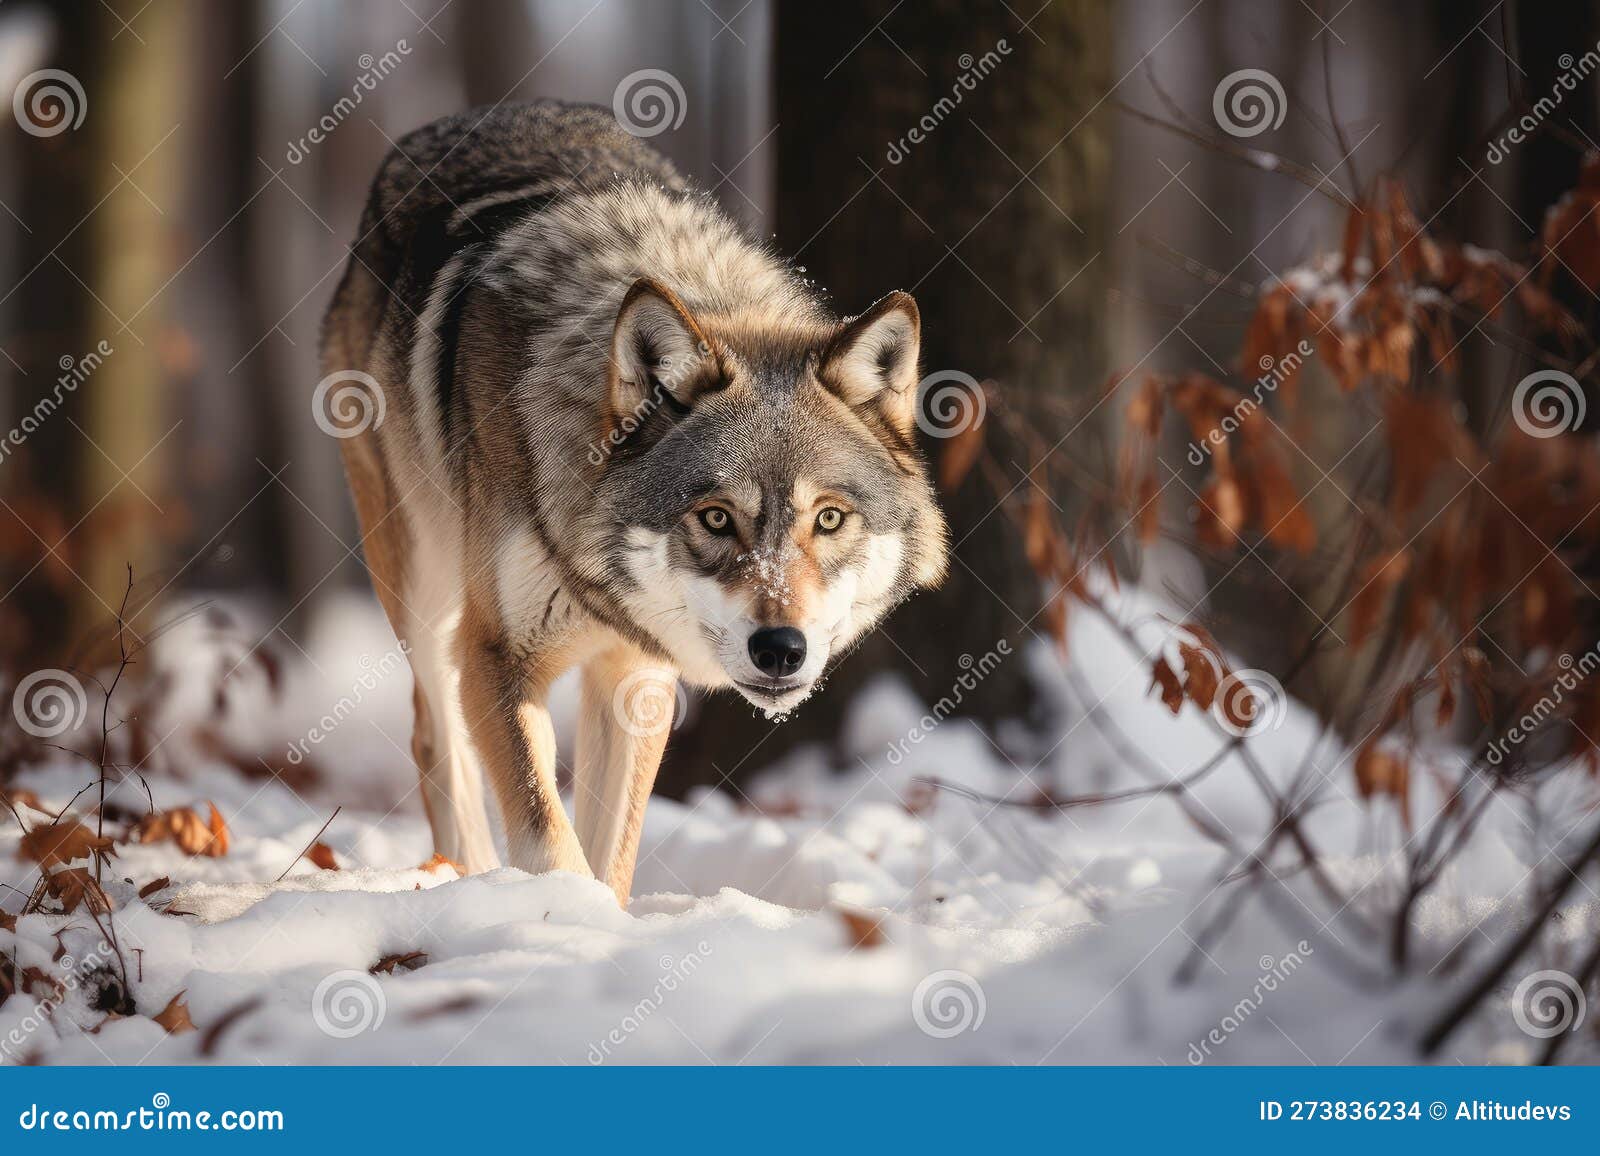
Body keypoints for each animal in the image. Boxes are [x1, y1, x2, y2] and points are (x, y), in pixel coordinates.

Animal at [320, 101, 948, 903]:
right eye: (716, 518)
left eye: (829, 518)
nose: (781, 649)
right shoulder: (495, 656)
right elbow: (550, 839)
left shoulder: (639, 673)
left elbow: (609, 856)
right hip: (427, 597)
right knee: (434, 734)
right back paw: (466, 875)